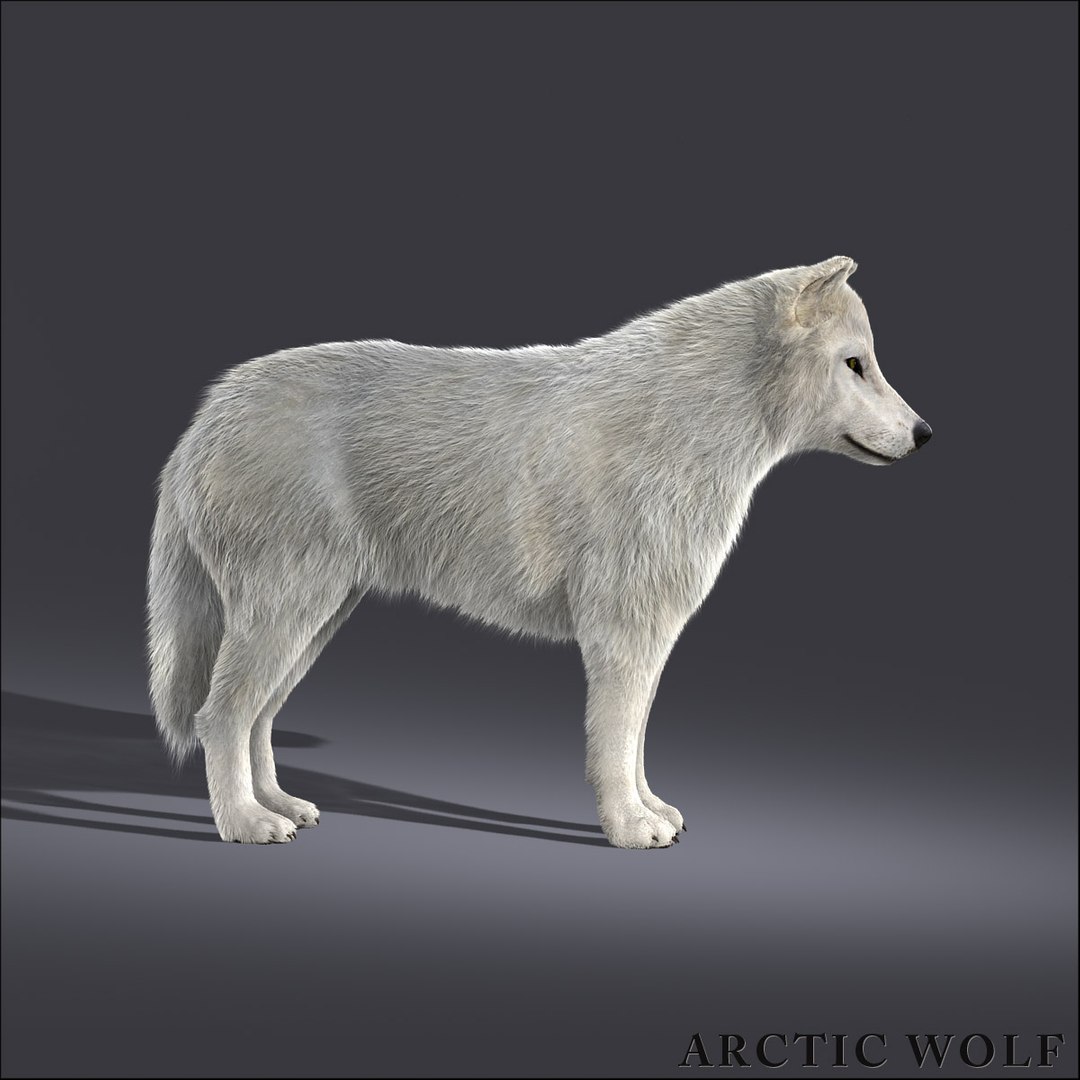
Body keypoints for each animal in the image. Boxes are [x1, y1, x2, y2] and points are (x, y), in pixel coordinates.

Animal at [147, 256, 931, 848]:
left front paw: (650, 810)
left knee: (257, 716)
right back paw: (245, 823)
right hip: (287, 609)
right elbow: (613, 741)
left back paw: (279, 805)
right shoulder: (621, 631)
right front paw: (628, 827)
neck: (691, 422)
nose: (925, 434)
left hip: (316, 617)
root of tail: (208, 415)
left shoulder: (649, 635)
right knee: (221, 716)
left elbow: (636, 740)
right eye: (856, 364)